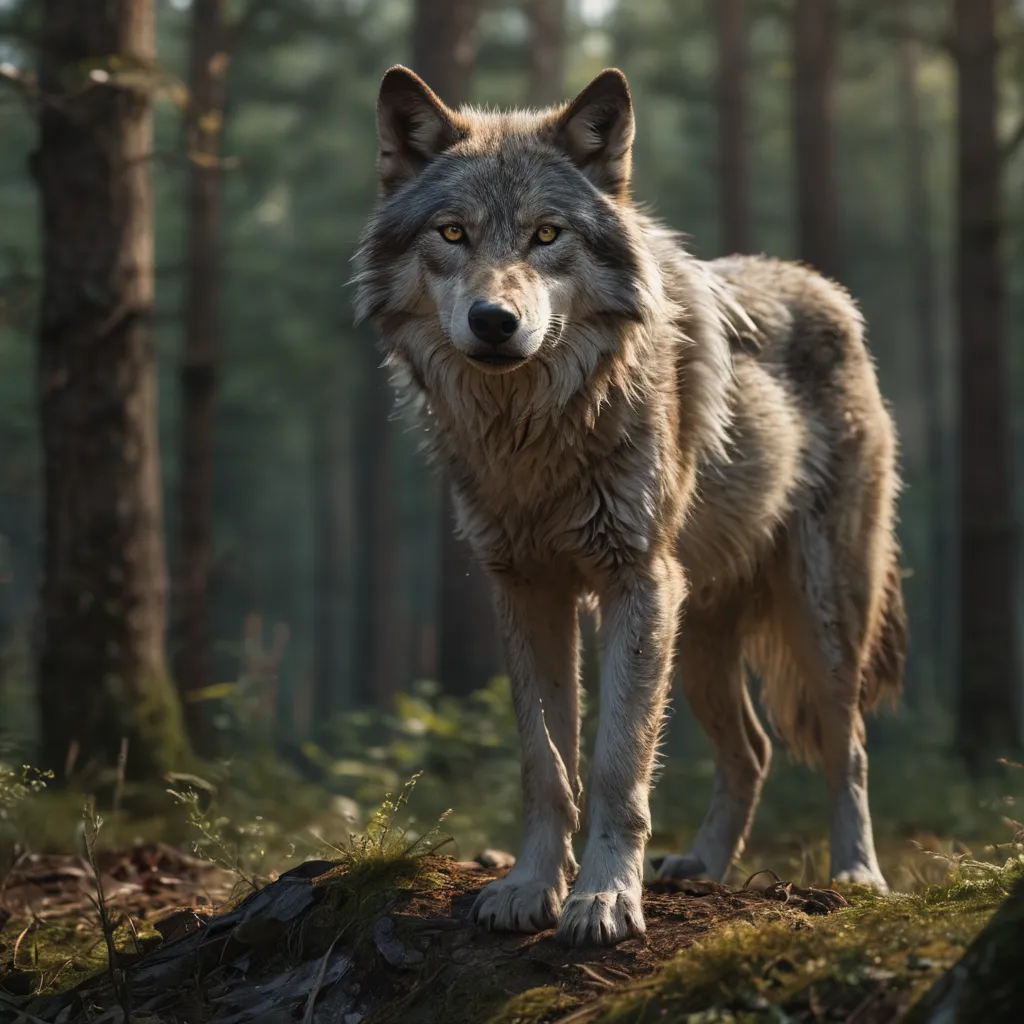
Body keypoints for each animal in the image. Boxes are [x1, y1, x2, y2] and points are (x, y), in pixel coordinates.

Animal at [353, 65, 907, 948]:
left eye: (547, 235)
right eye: (452, 234)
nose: (494, 321)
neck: (533, 431)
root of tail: (825, 288)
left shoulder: (635, 582)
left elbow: (617, 764)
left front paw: (605, 898)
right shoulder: (526, 590)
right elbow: (546, 764)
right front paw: (531, 887)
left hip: (817, 614)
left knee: (844, 747)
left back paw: (857, 873)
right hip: (699, 632)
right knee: (752, 751)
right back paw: (704, 866)